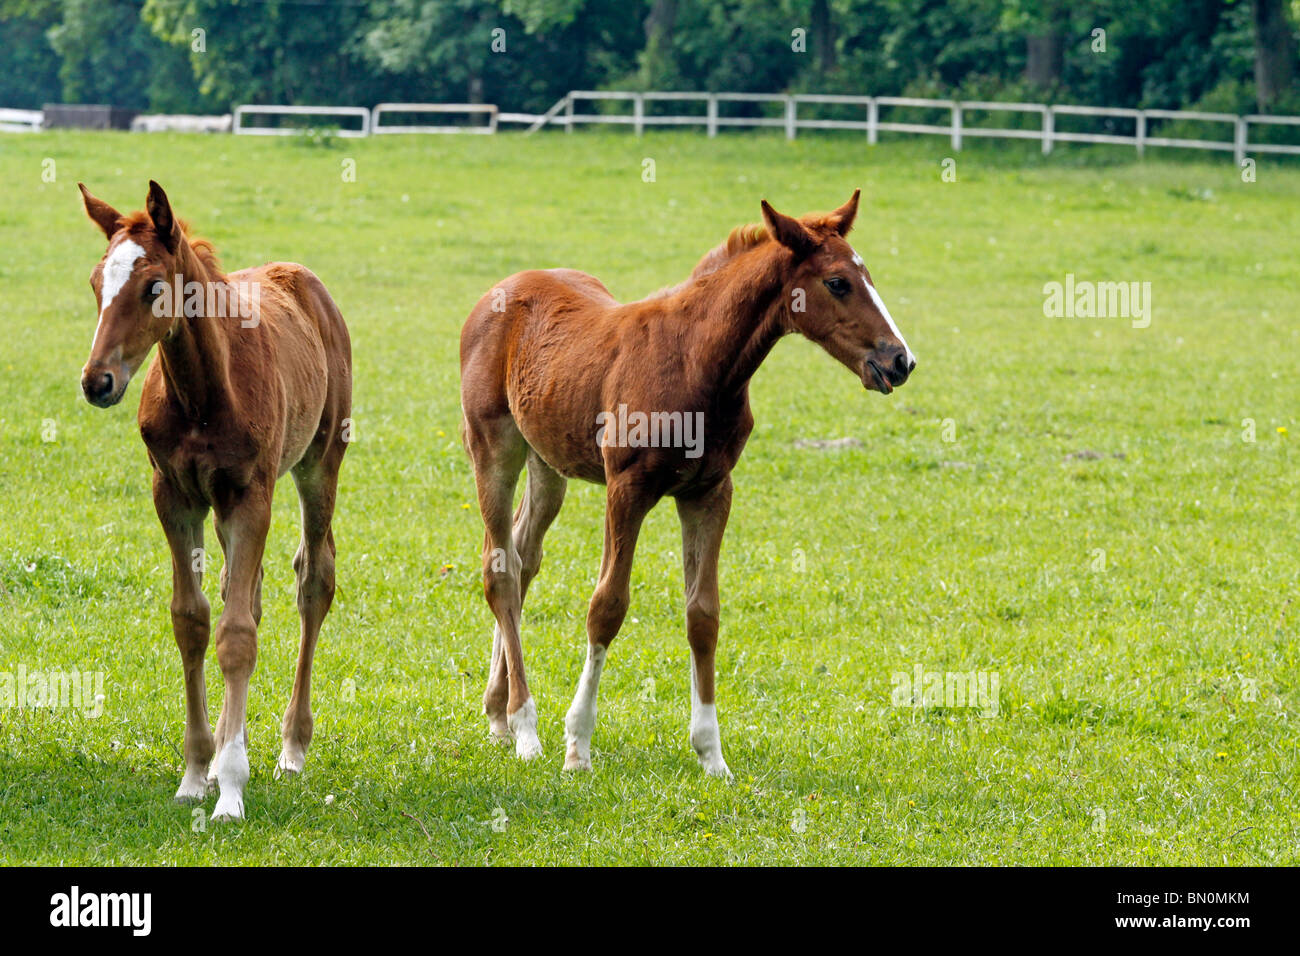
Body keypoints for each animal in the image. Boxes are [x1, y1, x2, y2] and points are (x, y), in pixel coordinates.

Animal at [78, 181, 352, 820]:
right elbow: (195, 621)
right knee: (243, 591)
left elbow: (236, 635)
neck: (204, 393)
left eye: (154, 286)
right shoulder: (175, 496)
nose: (97, 381)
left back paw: (291, 747)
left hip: (318, 464)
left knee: (313, 580)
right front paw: (195, 772)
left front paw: (229, 787)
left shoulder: (251, 497)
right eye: (97, 283)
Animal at [459, 190, 915, 775]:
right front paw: (578, 745)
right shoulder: (626, 489)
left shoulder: (710, 492)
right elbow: (607, 607)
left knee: (522, 558)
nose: (899, 360)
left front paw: (711, 754)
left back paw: (499, 713)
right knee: (500, 572)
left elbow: (703, 615)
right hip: (494, 447)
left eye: (869, 275)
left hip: (548, 463)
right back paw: (526, 729)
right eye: (838, 282)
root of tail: (500, 289)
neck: (697, 361)